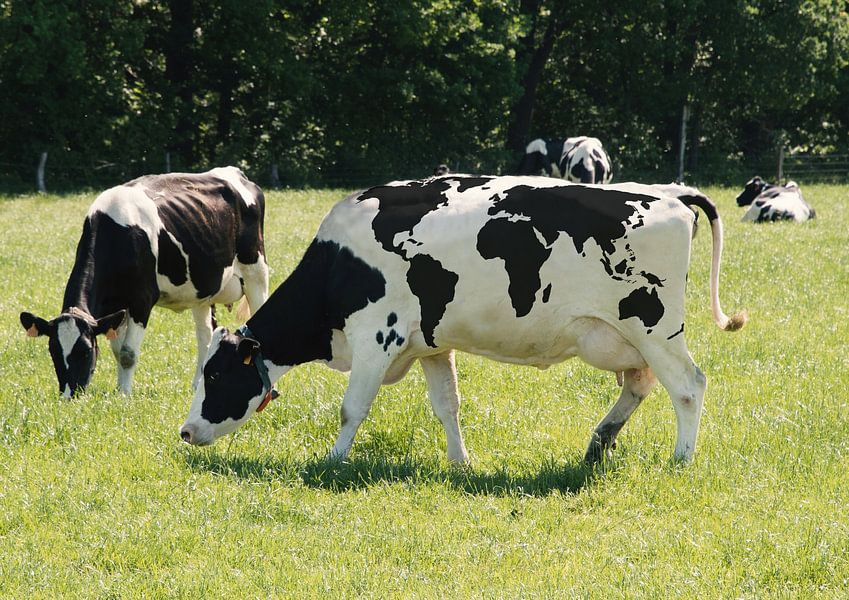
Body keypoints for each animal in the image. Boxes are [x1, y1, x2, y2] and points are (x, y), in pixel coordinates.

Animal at [20, 166, 269, 398]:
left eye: (85, 351)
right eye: (53, 351)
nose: (69, 395)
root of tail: (234, 172)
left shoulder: (142, 300)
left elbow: (127, 353)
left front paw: (124, 394)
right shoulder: (115, 307)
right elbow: (117, 350)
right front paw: (120, 388)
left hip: (256, 270)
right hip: (202, 289)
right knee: (206, 335)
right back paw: (198, 385)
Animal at [179, 175, 746, 465]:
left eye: (215, 375)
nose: (185, 432)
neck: (339, 263)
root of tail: (670, 192)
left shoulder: (377, 335)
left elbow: (351, 408)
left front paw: (332, 462)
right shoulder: (431, 344)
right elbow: (447, 406)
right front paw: (460, 462)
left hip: (656, 328)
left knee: (688, 387)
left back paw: (681, 458)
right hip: (623, 336)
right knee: (639, 384)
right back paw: (598, 442)